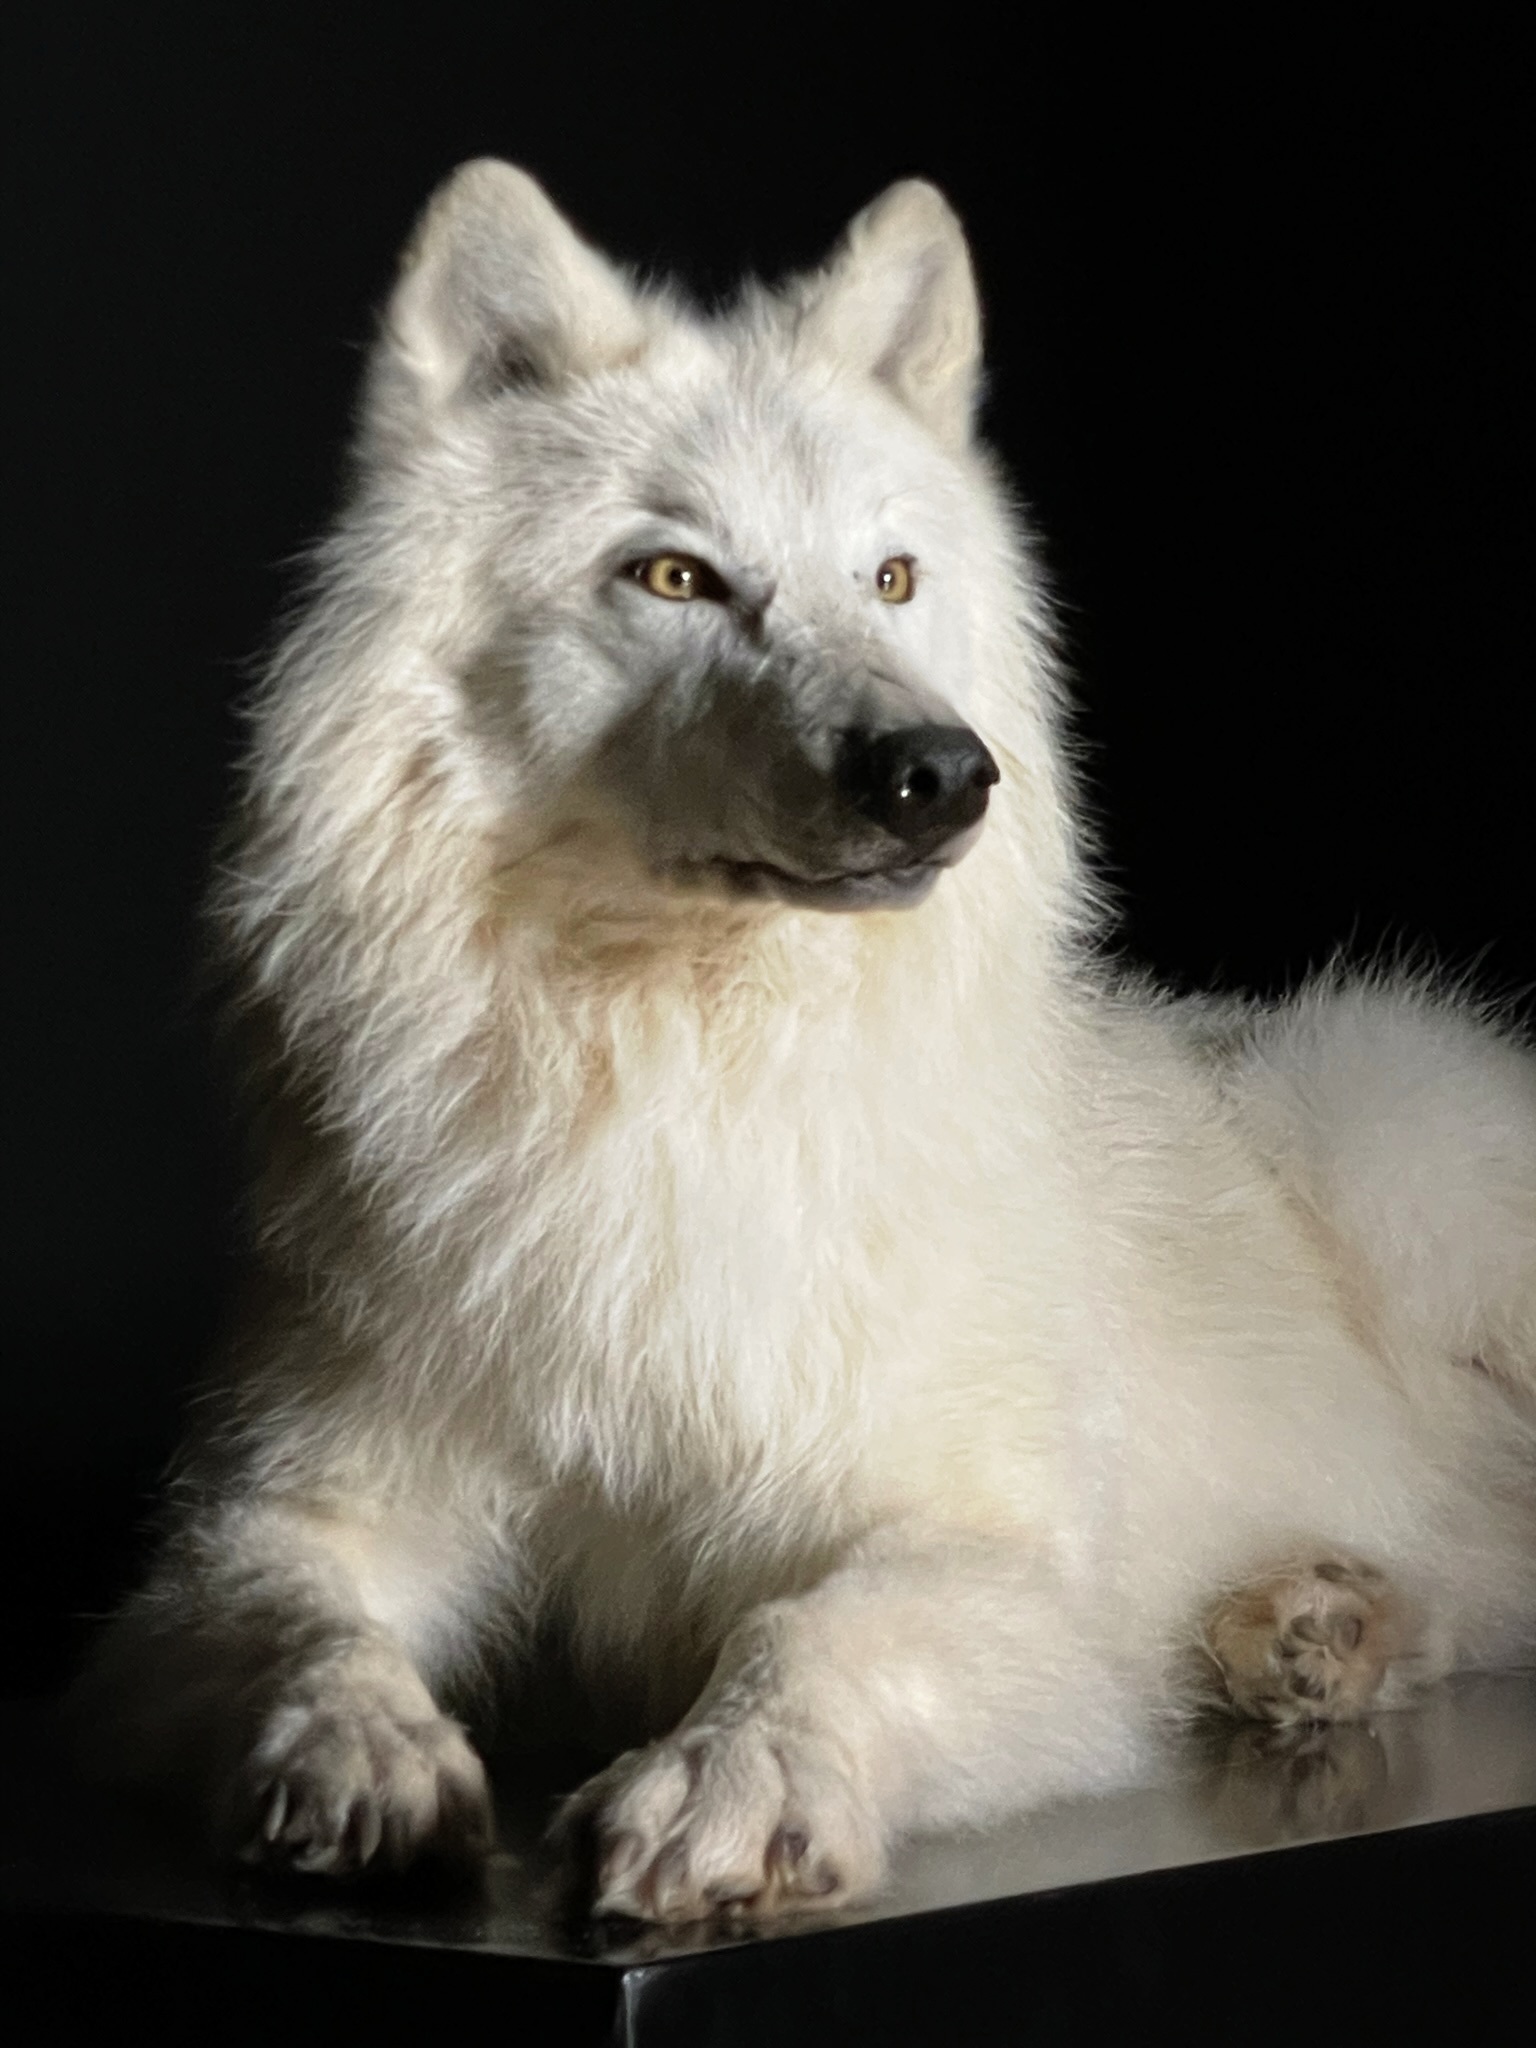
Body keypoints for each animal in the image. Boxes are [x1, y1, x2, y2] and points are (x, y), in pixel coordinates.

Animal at [81, 161, 1536, 1923]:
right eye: (677, 577)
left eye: (892, 580)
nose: (938, 774)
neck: (669, 1070)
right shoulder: (267, 1528)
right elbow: (299, 1624)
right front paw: (355, 1757)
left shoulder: (997, 1565)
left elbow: (810, 1632)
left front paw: (735, 1784)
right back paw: (1322, 1626)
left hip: (1385, 1144)